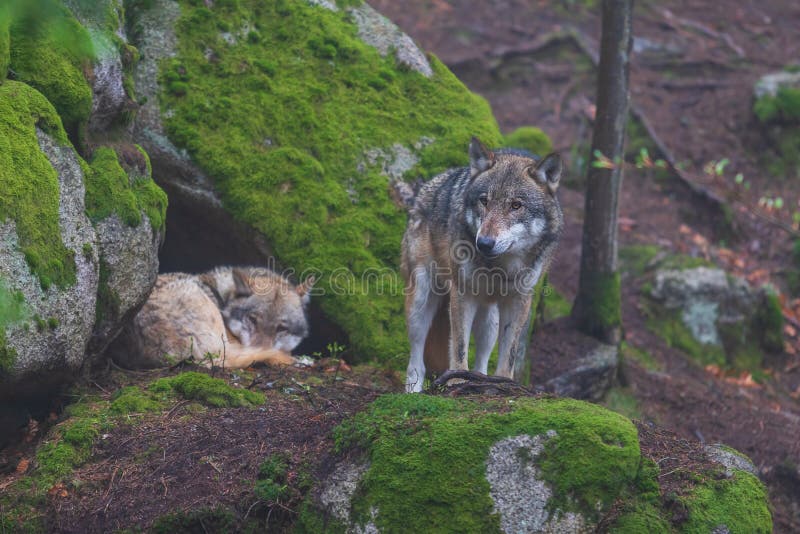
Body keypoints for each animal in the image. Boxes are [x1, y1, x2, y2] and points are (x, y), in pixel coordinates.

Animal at [401, 137, 563, 392]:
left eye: (516, 205)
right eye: (484, 201)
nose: (484, 243)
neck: (501, 266)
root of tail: (423, 192)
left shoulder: (519, 300)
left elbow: (509, 354)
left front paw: (504, 384)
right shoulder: (462, 294)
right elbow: (459, 346)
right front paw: (457, 382)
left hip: (490, 318)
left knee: (483, 359)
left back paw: (481, 381)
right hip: (421, 301)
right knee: (416, 359)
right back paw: (413, 391)